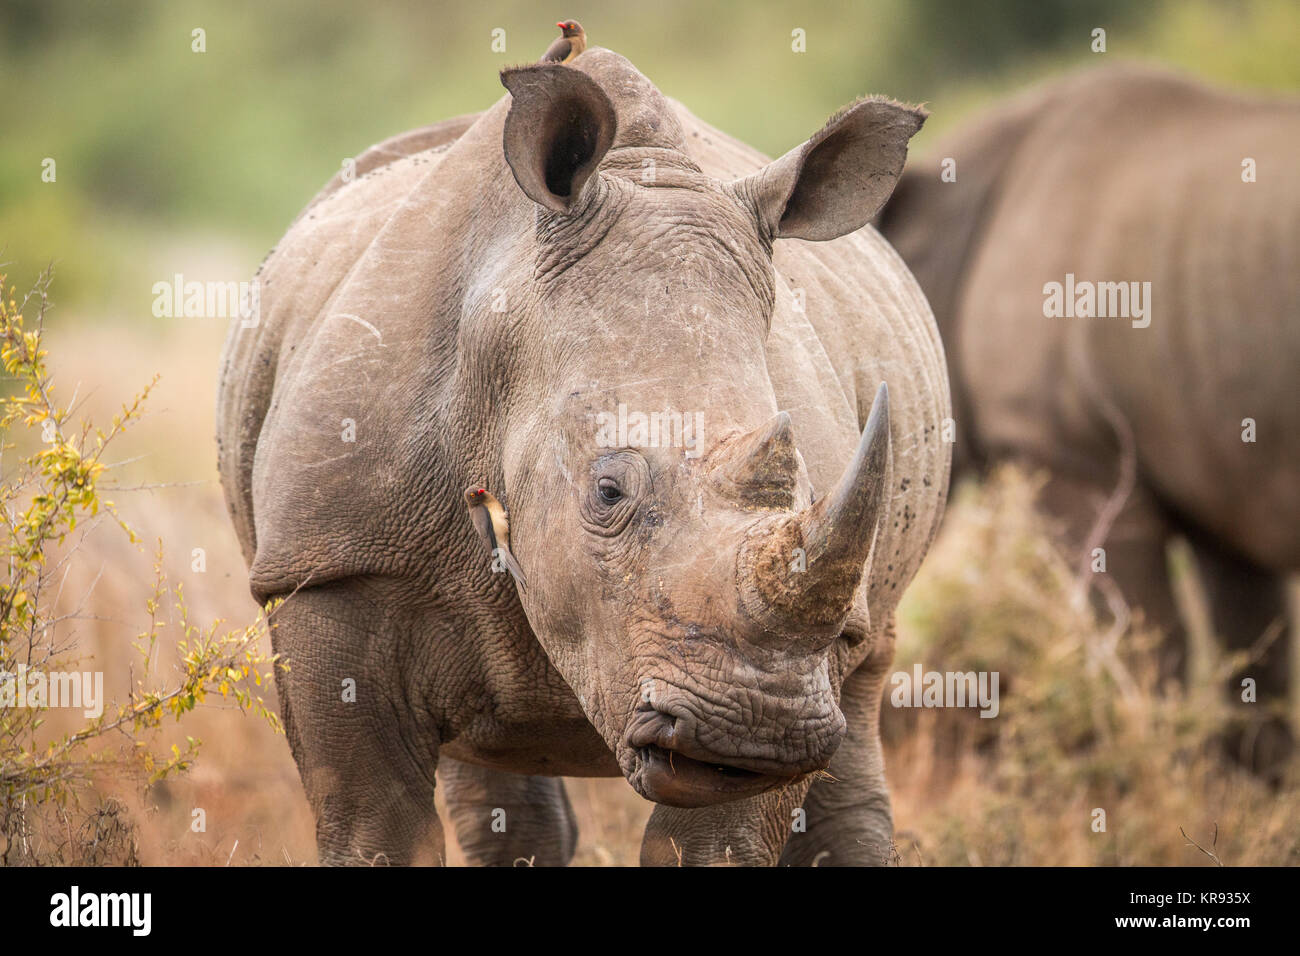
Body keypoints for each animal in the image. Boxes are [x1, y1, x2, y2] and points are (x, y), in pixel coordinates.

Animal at [217, 48, 950, 866]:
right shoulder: (330, 563)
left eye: (807, 484)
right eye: (607, 492)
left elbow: (716, 845)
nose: (757, 730)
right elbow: (373, 826)